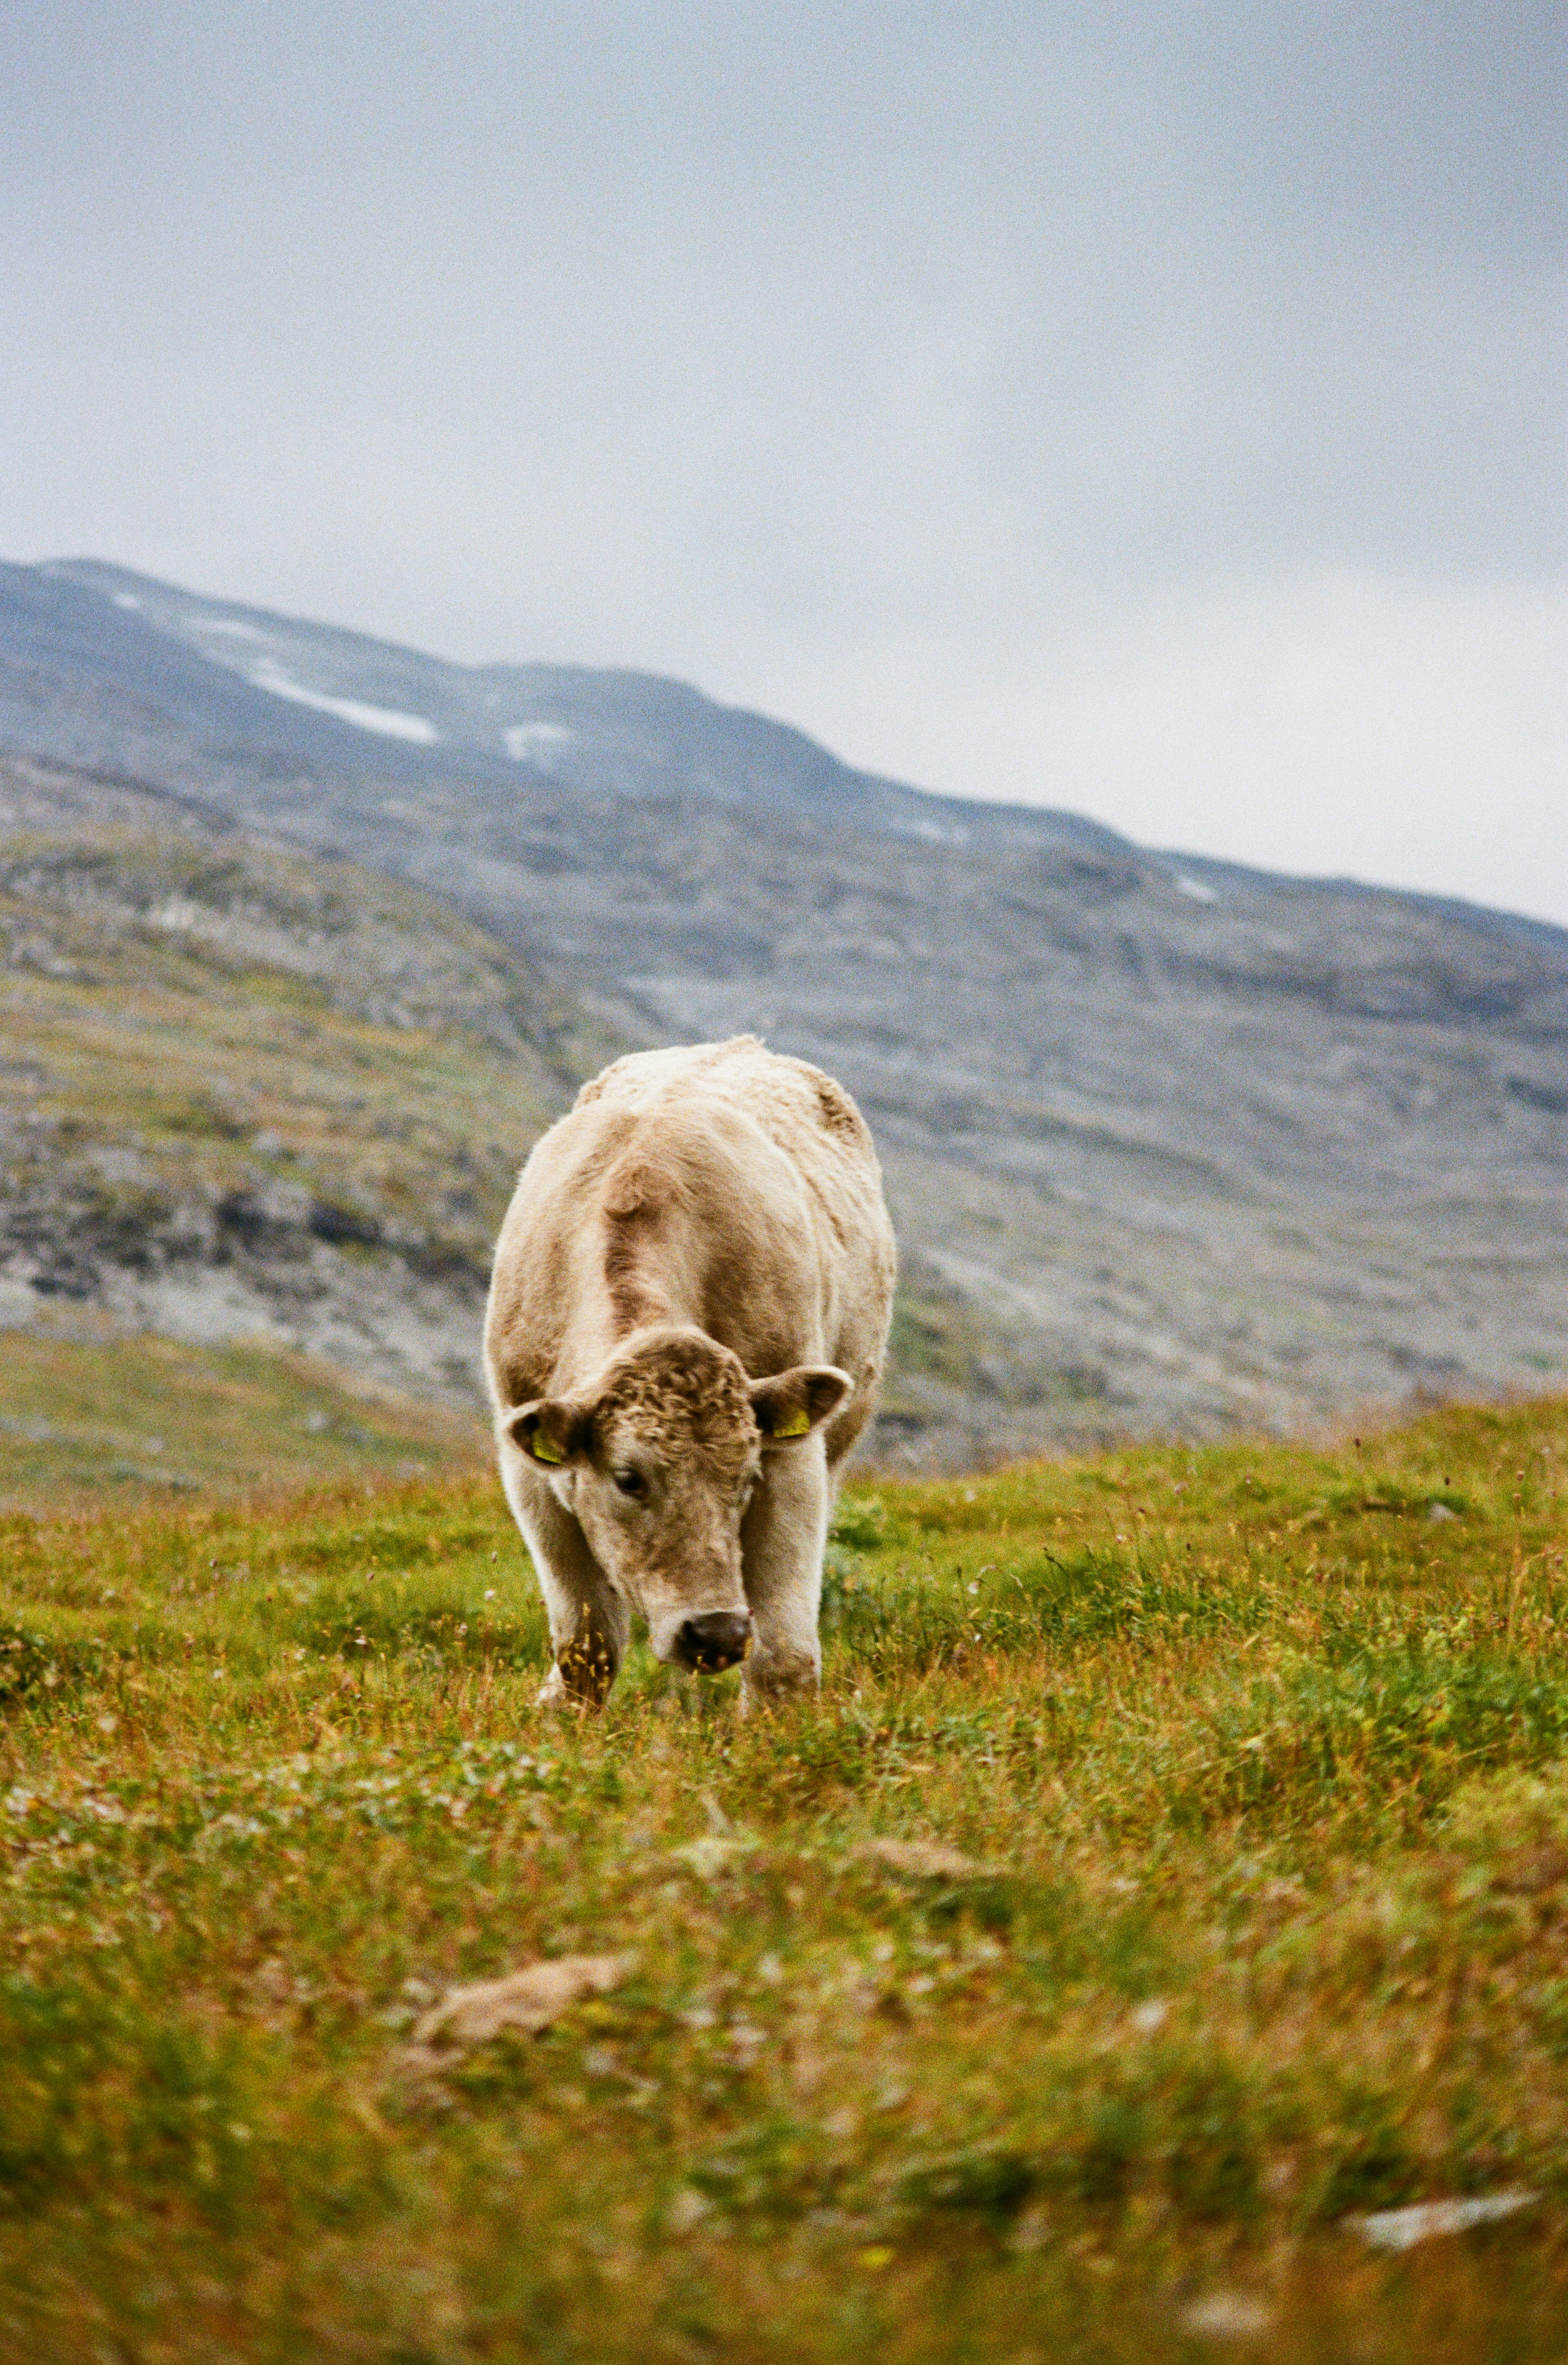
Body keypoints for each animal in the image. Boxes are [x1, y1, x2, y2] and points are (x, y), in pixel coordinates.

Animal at [484, 1036, 896, 1709]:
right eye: (628, 1478)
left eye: (747, 1475)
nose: (715, 1631)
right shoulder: (530, 1473)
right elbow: (586, 1647)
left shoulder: (794, 1460)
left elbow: (783, 1658)